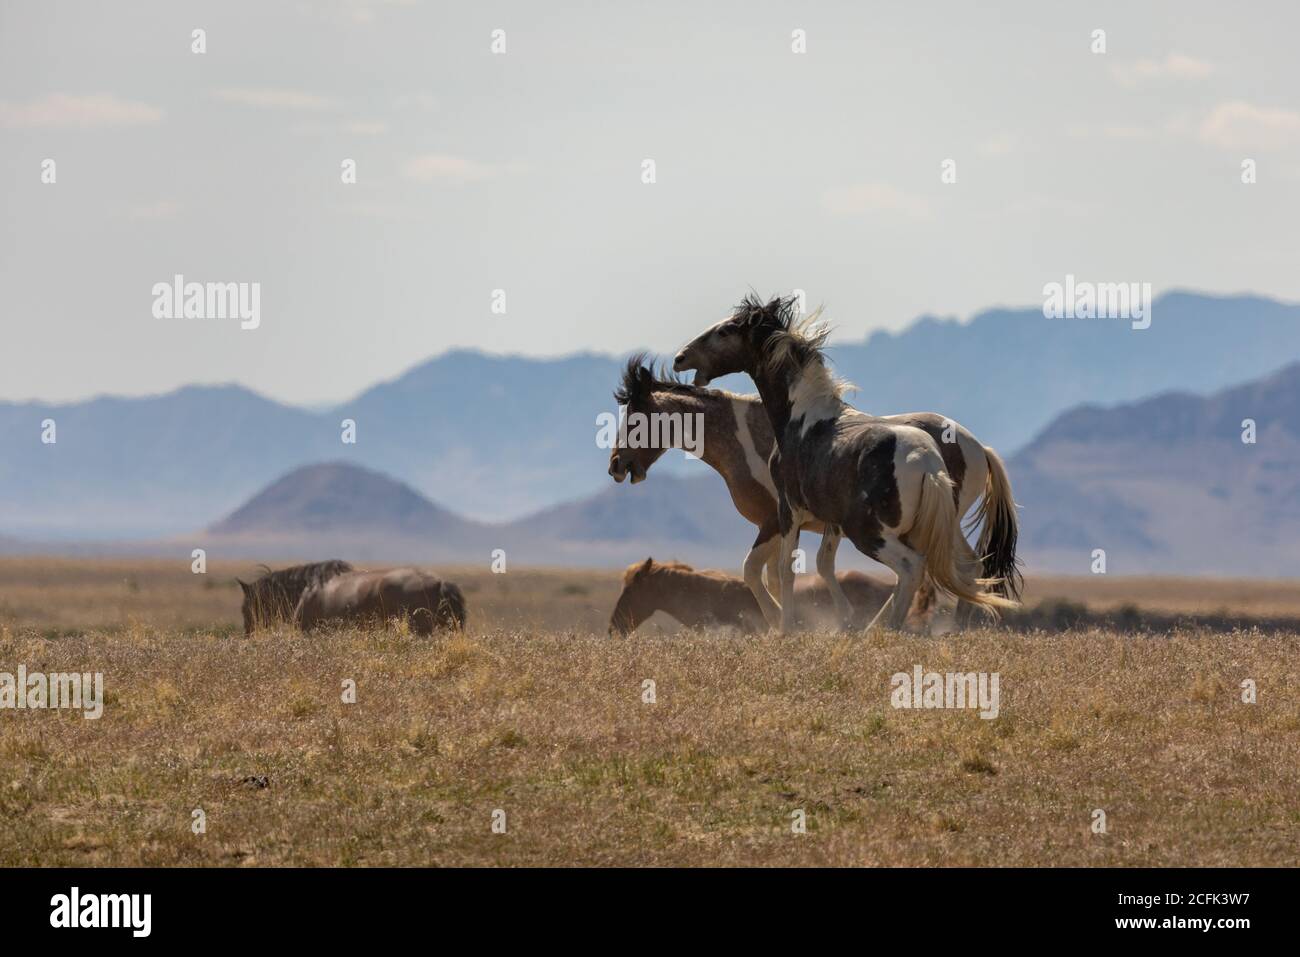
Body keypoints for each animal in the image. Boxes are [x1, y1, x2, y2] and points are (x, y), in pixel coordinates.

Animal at [672, 294, 1020, 634]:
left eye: (724, 331)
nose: (680, 358)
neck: (803, 417)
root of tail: (928, 462)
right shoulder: (831, 520)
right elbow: (823, 563)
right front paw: (843, 620)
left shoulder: (788, 510)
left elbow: (785, 570)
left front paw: (787, 628)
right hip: (931, 527)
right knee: (964, 565)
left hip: (870, 533)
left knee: (912, 568)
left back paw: (887, 631)